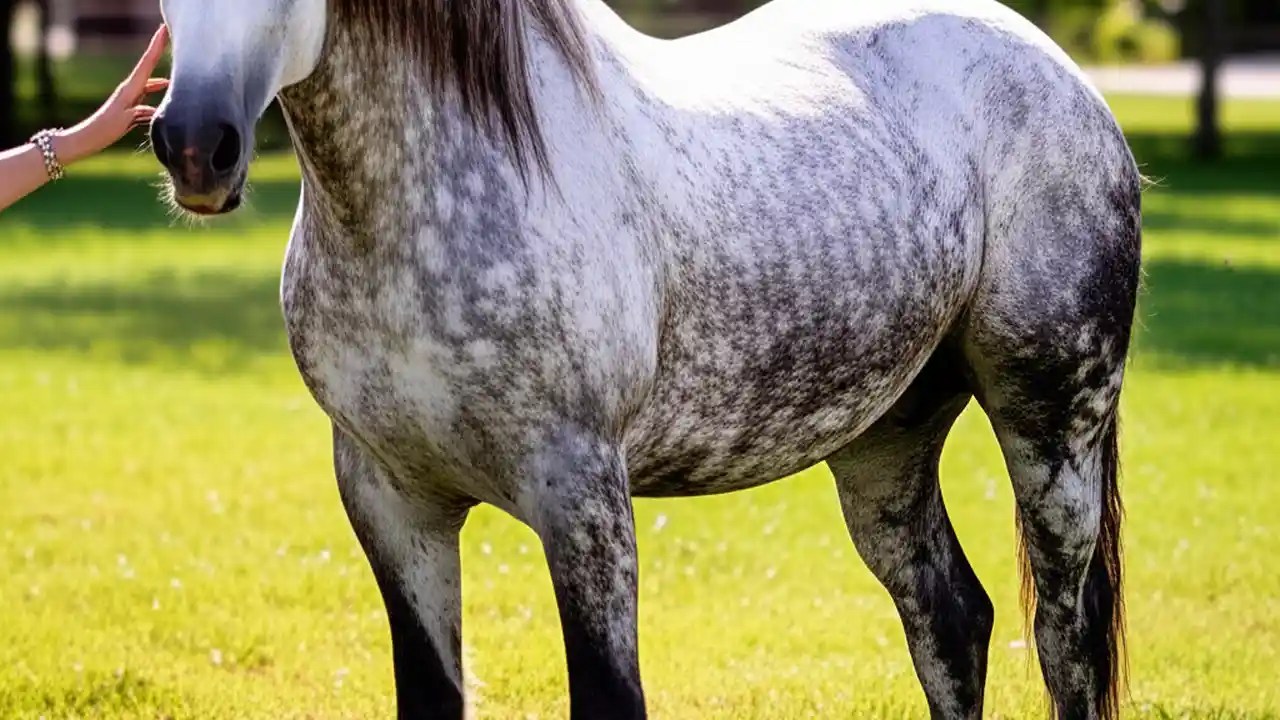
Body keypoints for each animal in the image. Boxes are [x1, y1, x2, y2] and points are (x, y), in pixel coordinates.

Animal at [150, 0, 1141, 717]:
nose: (194, 144)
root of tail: (1062, 74)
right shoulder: (392, 500)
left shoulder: (583, 498)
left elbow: (609, 698)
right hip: (886, 445)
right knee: (951, 622)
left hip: (1054, 430)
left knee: (1064, 638)